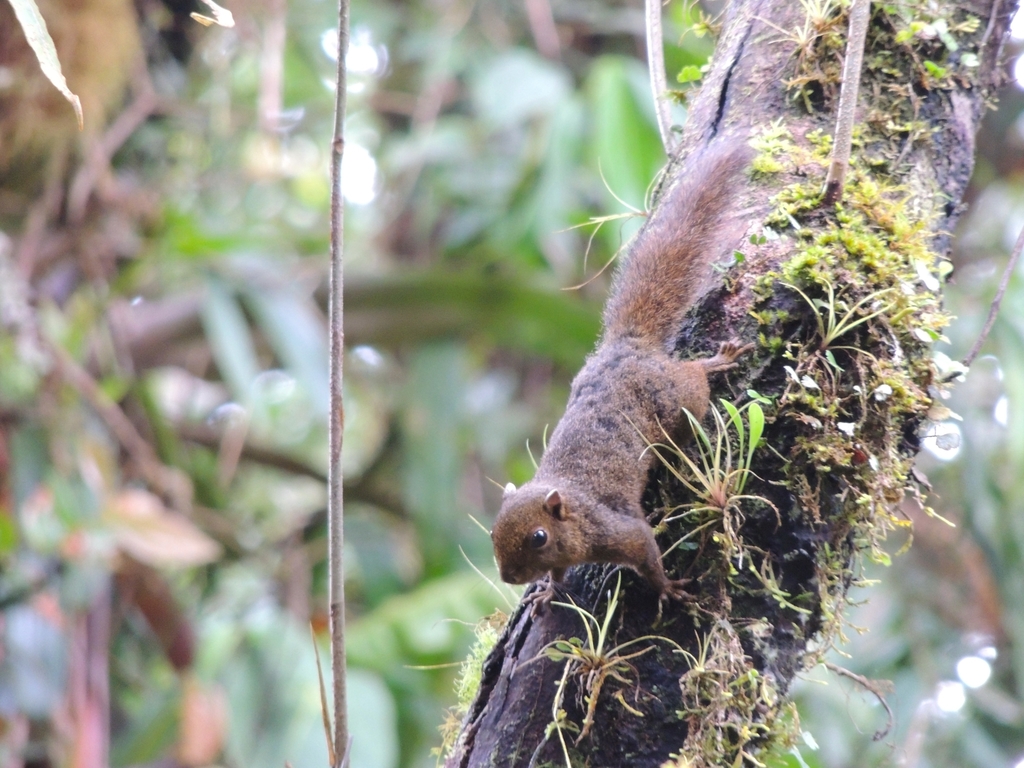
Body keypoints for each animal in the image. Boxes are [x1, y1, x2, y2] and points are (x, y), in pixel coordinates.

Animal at [490, 138, 753, 605]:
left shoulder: (617, 531)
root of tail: (626, 346)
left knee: (693, 379)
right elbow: (559, 573)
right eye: (492, 533)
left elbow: (646, 552)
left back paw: (715, 361)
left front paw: (667, 588)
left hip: (678, 398)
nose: (508, 576)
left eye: (538, 537)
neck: (574, 512)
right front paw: (548, 591)